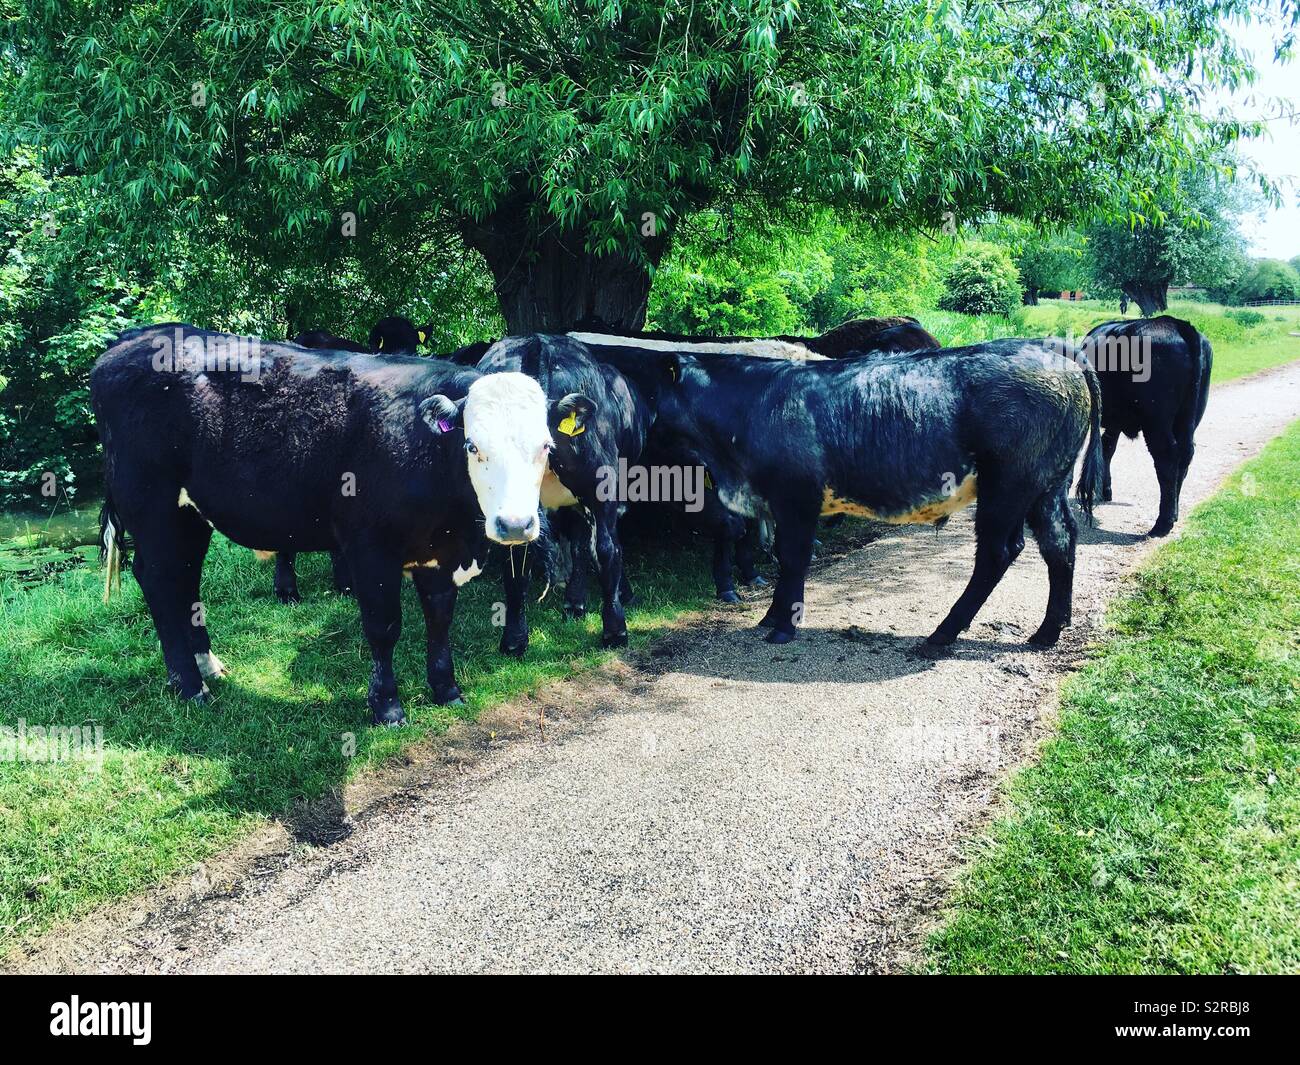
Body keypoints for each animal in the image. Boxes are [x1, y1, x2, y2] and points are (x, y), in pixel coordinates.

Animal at [92, 324, 552, 725]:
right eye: (473, 446)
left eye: (545, 446)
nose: (515, 524)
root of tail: (132, 339)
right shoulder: (370, 547)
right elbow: (384, 627)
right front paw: (387, 708)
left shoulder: (440, 550)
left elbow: (440, 620)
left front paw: (447, 690)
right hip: (153, 509)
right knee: (159, 580)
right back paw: (189, 686)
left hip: (190, 515)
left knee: (184, 581)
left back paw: (207, 665)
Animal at [583, 340, 1104, 648]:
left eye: (632, 385)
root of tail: (1060, 356)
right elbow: (783, 557)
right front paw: (770, 616)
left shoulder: (798, 497)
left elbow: (794, 558)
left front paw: (783, 626)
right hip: (1047, 485)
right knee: (1059, 542)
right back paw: (1048, 630)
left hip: (1010, 486)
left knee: (999, 551)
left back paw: (942, 634)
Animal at [1082, 316, 1213, 536]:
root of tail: (1177, 324)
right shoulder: (1115, 420)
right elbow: (1107, 448)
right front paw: (1105, 489)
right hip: (1190, 416)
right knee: (1185, 456)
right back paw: (1174, 513)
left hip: (1156, 422)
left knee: (1166, 458)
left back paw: (1162, 524)